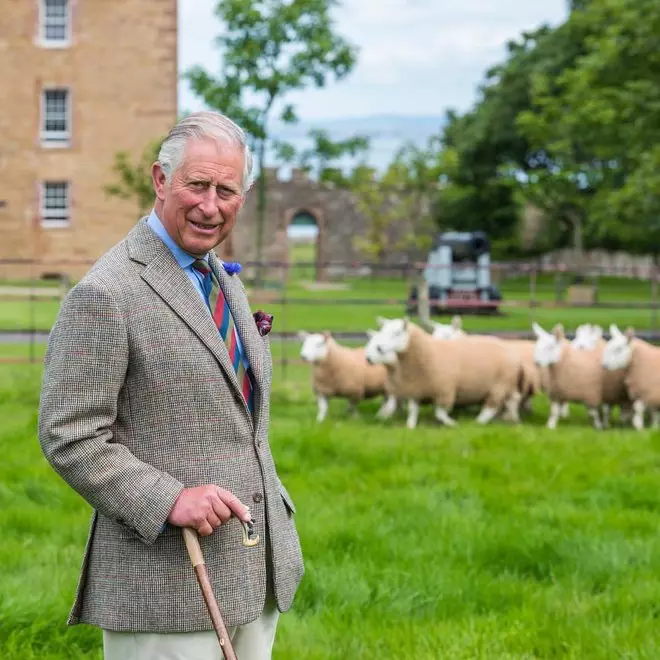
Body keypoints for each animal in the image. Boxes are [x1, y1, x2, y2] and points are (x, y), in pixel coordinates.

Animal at [364, 318, 524, 430]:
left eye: (397, 332)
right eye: (382, 331)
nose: (379, 348)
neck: (429, 352)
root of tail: (507, 347)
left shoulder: (445, 390)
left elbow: (440, 413)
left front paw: (451, 423)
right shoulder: (416, 389)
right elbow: (413, 410)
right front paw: (410, 426)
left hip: (500, 384)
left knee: (492, 406)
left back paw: (479, 422)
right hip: (508, 383)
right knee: (514, 399)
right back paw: (513, 419)